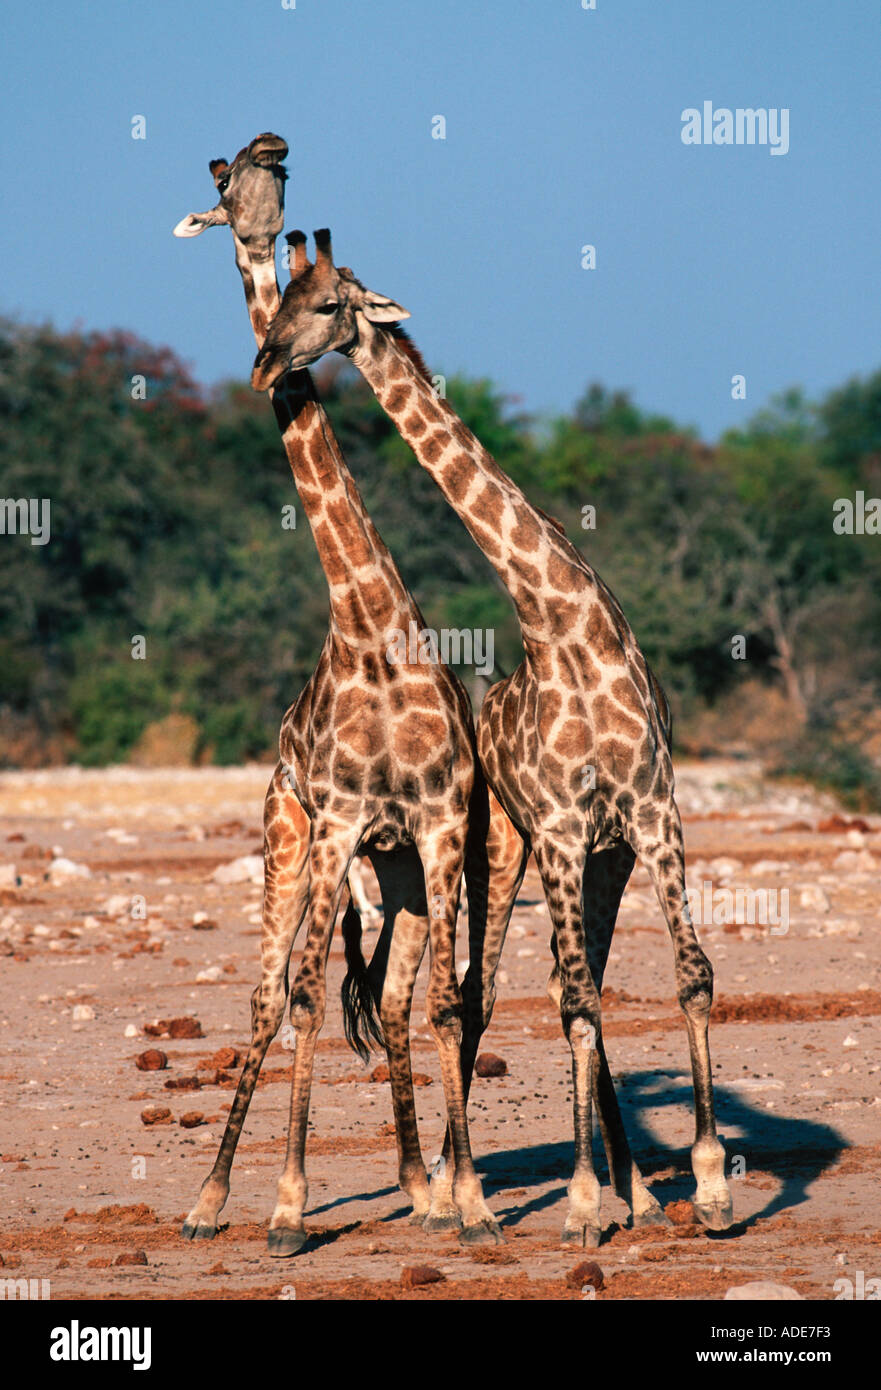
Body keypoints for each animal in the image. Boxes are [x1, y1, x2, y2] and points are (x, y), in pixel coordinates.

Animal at [172, 137, 517, 1252]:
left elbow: (443, 1004)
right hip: (288, 846)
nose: (260, 364)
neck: (369, 629)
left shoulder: (440, 825)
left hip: (406, 870)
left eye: (330, 300)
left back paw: (419, 1184)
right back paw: (209, 1201)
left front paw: (469, 1203)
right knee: (267, 994)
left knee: (403, 1000)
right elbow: (306, 1000)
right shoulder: (330, 826)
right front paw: (284, 1209)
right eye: (227, 174)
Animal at [251, 232, 735, 1247]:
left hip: (598, 858)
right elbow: (573, 1002)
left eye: (325, 306)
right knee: (495, 992)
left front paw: (710, 1189)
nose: (265, 363)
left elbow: (689, 976)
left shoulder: (653, 812)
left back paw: (623, 1191)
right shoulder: (554, 826)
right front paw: (581, 1204)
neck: (565, 627)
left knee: (549, 982)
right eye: (286, 297)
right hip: (505, 851)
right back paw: (459, 1188)